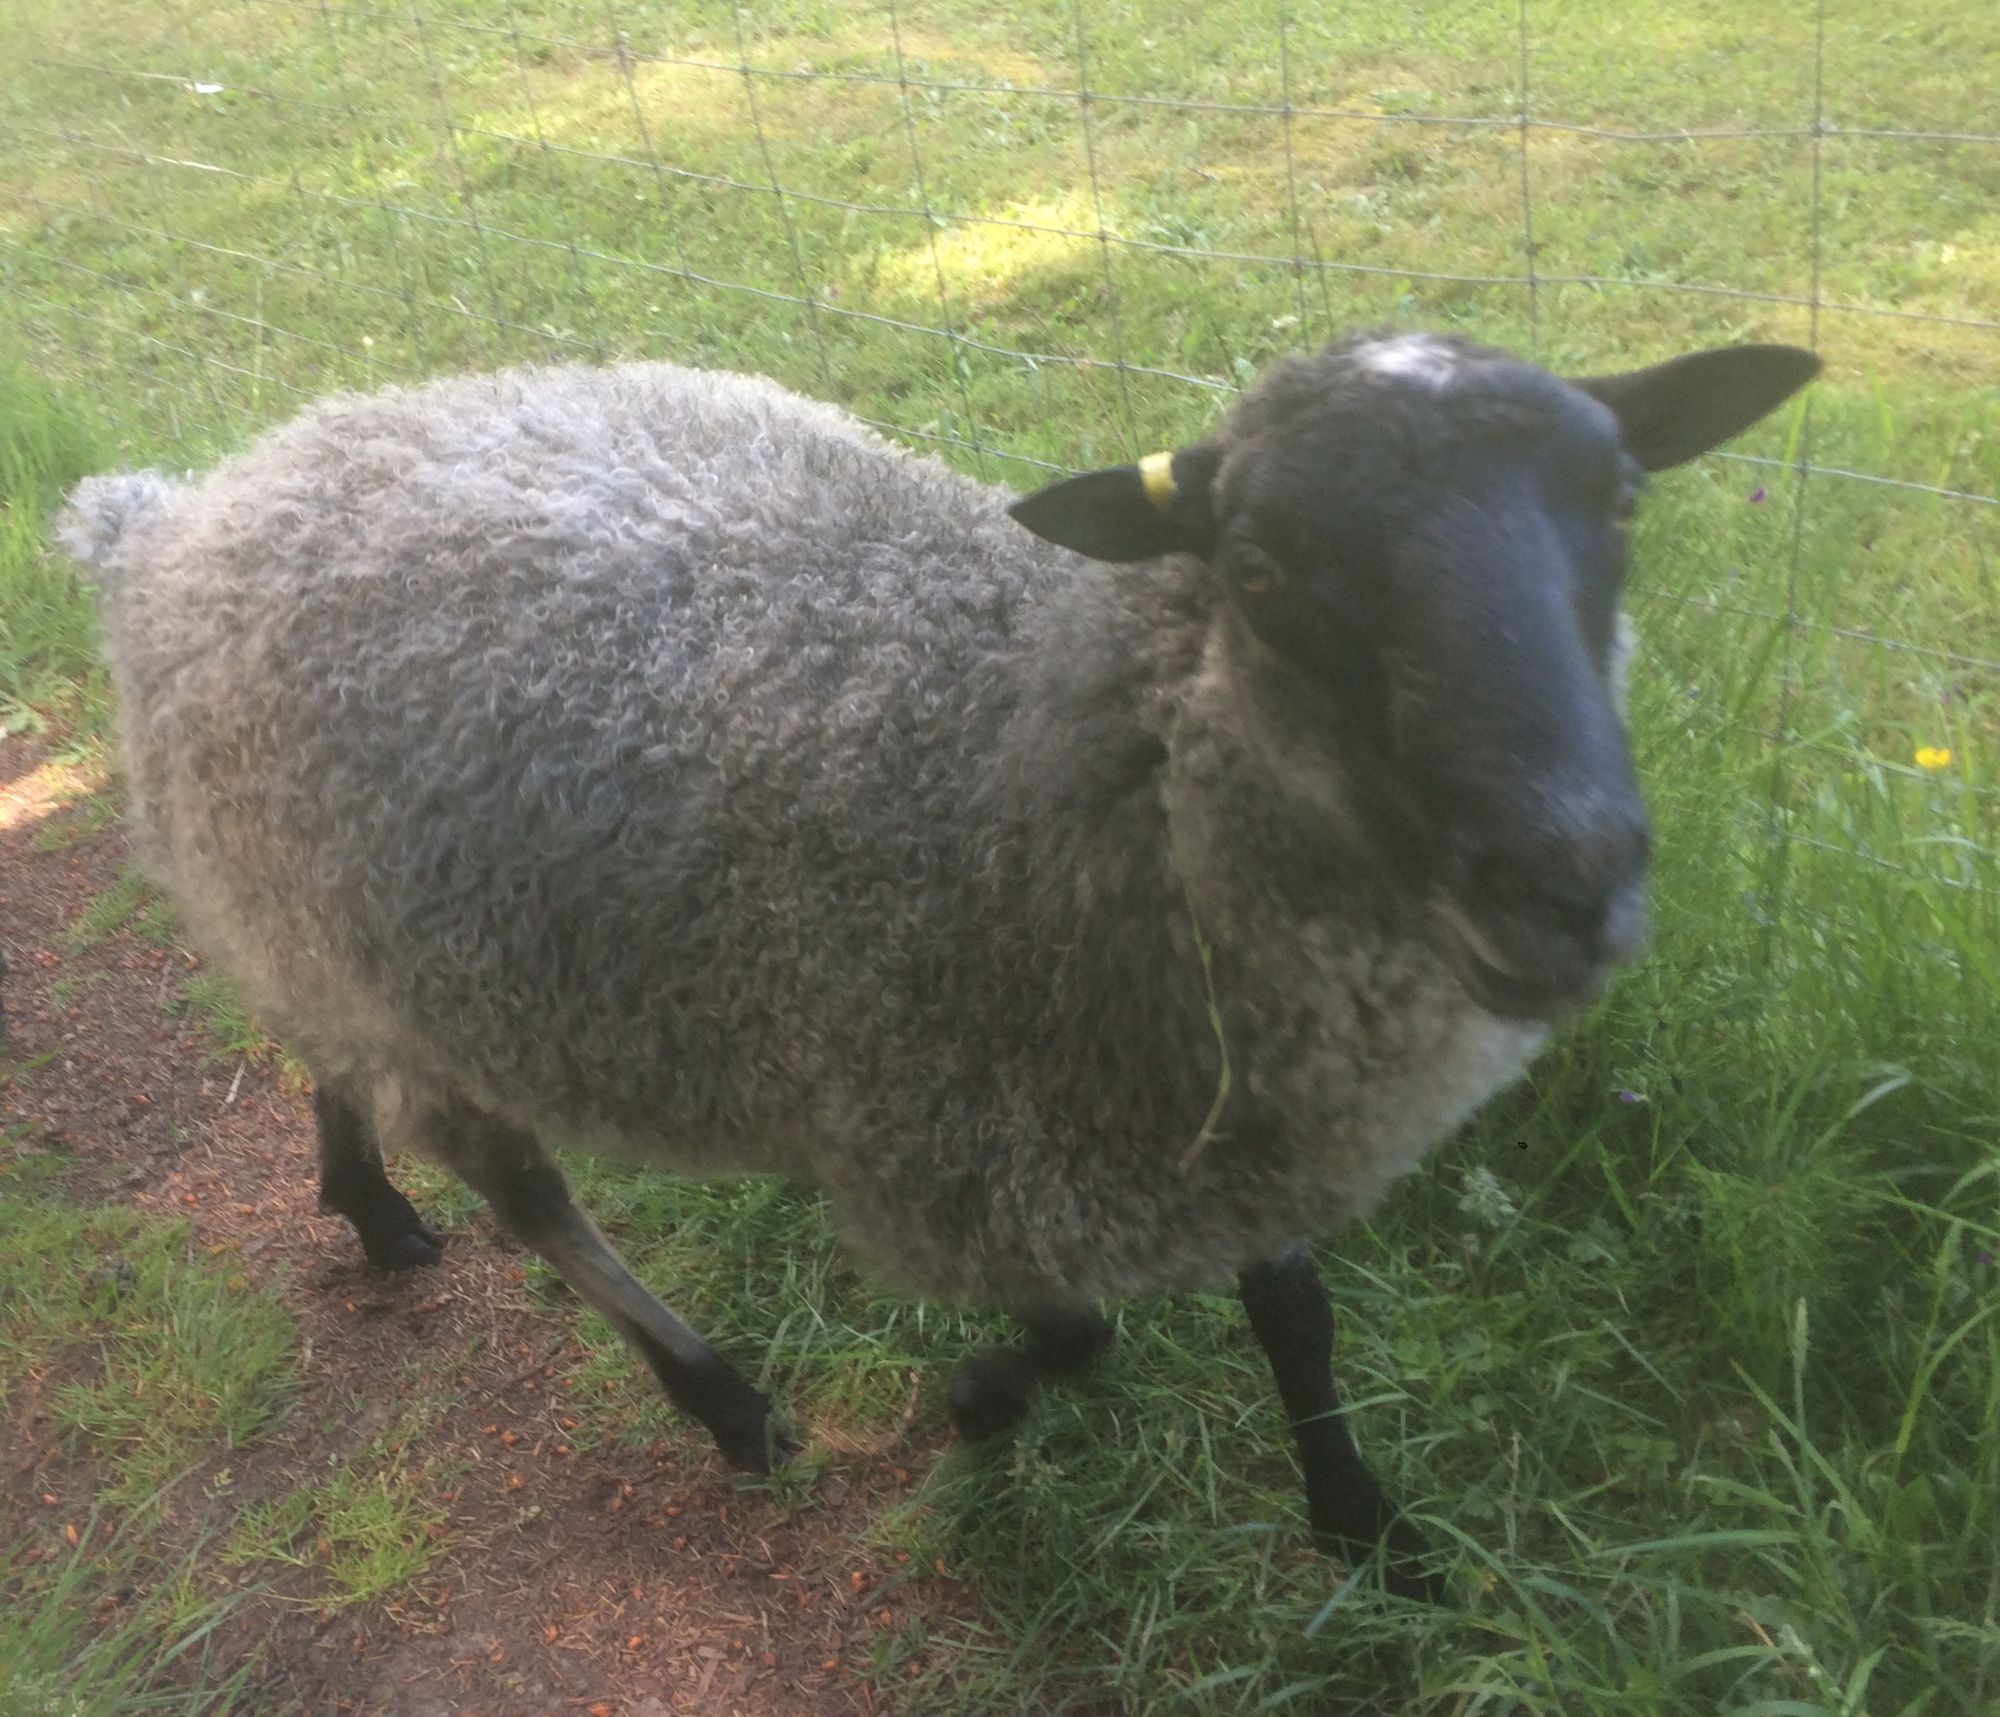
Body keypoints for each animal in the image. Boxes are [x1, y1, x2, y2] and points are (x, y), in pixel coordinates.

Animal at [58, 333, 1817, 1599]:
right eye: (1259, 567)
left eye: (1623, 505)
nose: (1567, 882)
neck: (1059, 738)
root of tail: (177, 515)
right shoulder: (941, 1123)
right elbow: (1086, 1332)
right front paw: (976, 1404)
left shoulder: (1221, 1115)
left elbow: (1295, 1319)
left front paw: (1365, 1530)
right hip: (377, 940)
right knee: (524, 1188)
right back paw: (723, 1401)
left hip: (314, 916)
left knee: (325, 1055)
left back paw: (366, 1207)